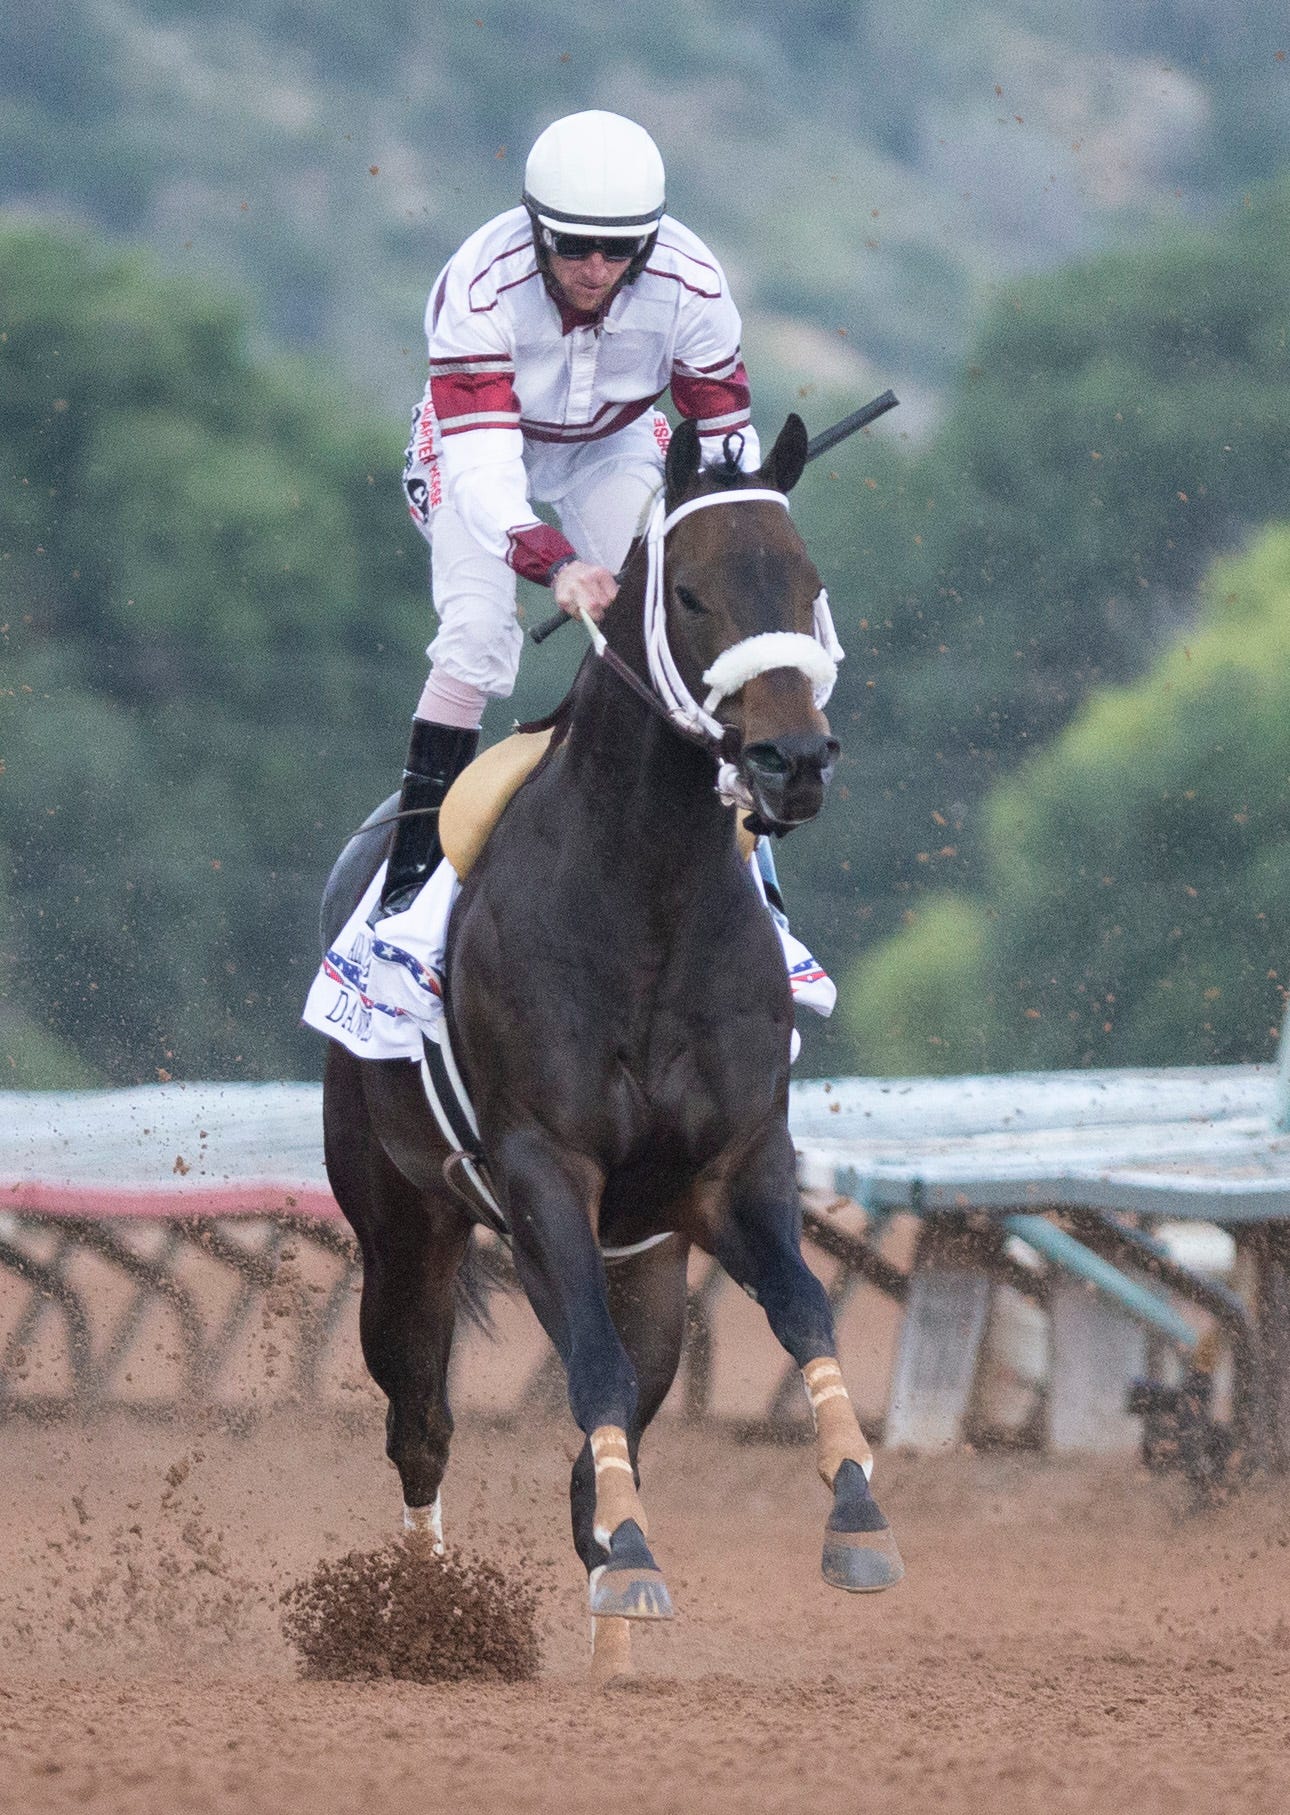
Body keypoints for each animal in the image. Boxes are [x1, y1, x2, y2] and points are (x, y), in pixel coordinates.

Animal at [319, 414, 903, 1677]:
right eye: (687, 592)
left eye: (809, 585)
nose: (796, 762)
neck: (650, 896)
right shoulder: (545, 1168)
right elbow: (581, 1367)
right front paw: (625, 1565)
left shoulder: (736, 1166)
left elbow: (804, 1312)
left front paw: (858, 1518)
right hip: (405, 1228)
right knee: (421, 1421)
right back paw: (427, 1616)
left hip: (645, 1260)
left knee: (616, 1408)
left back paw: (612, 1624)